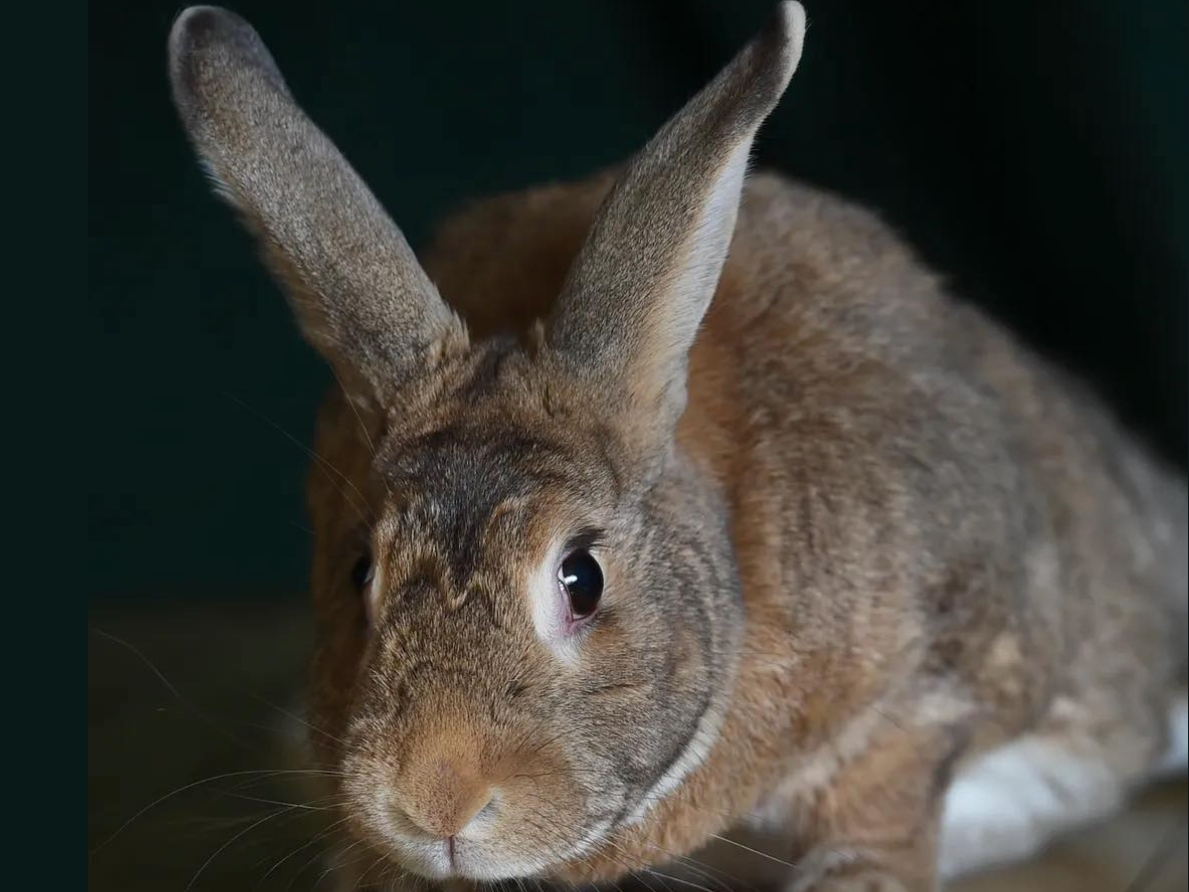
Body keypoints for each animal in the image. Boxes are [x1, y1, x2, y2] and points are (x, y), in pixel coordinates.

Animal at [168, 3, 1188, 891]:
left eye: (581, 577)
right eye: (358, 573)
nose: (435, 803)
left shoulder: (928, 681)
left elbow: (887, 804)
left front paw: (852, 878)